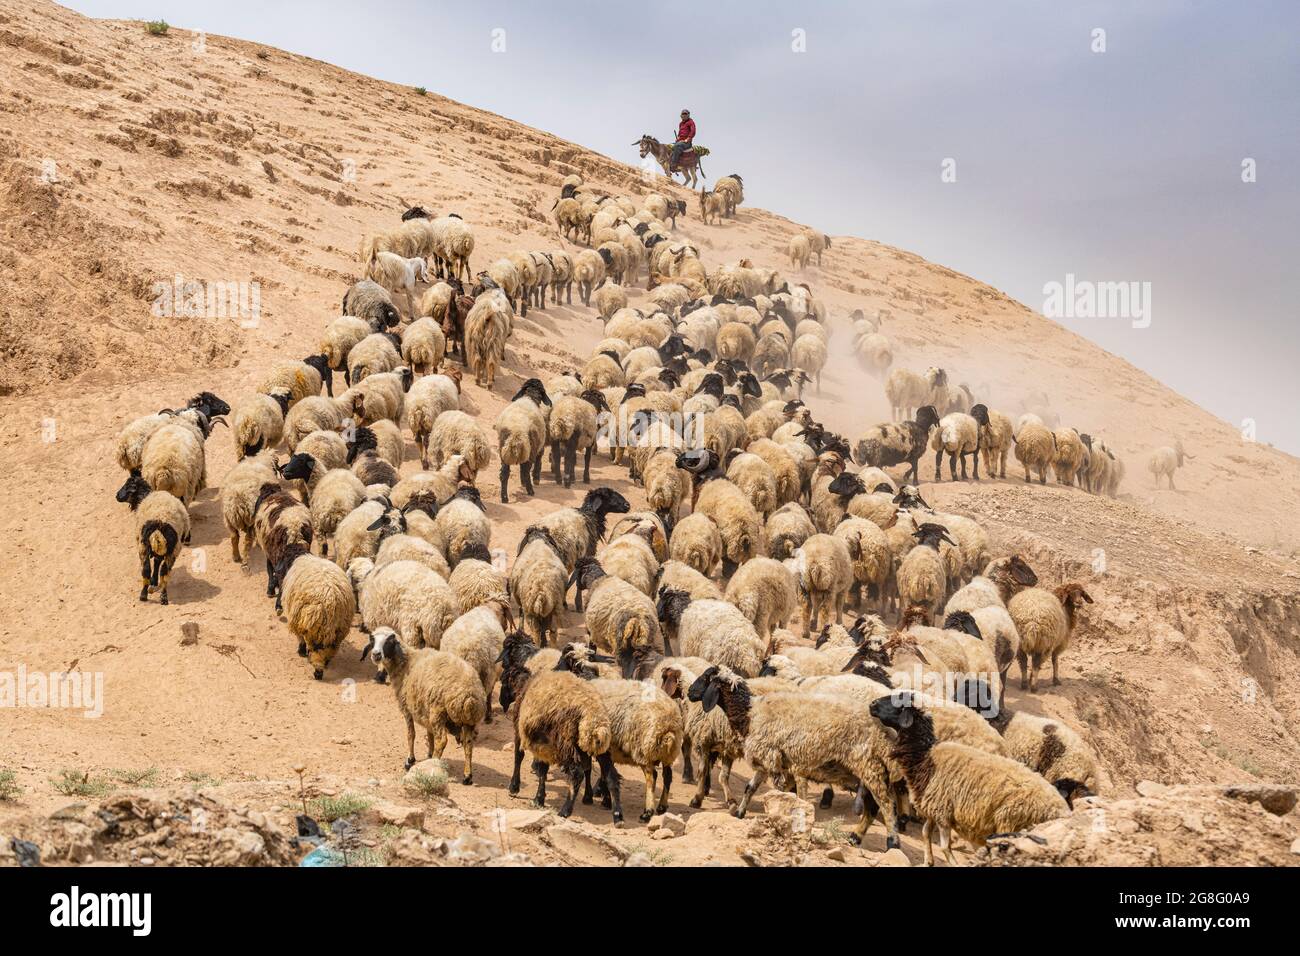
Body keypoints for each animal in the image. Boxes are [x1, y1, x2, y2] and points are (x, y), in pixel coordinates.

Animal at [115, 474, 190, 605]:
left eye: (127, 485)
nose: (117, 495)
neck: (145, 496)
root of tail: (160, 523)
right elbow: (157, 561)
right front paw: (154, 582)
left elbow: (153, 564)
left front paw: (152, 582)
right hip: (172, 550)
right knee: (165, 573)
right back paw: (164, 598)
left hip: (144, 547)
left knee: (146, 570)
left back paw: (143, 596)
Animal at [363, 628, 484, 784]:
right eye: (372, 640)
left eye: (389, 641)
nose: (376, 654)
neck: (406, 664)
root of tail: (469, 696)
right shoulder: (424, 709)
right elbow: (429, 734)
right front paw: (428, 754)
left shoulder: (407, 709)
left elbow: (411, 735)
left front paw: (410, 760)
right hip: (468, 721)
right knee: (468, 744)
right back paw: (467, 776)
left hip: (438, 712)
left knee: (442, 741)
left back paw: (434, 766)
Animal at [869, 692, 1069, 866]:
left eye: (898, 703)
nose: (872, 704)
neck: (927, 756)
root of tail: (1061, 810)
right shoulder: (934, 808)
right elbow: (926, 833)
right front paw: (928, 861)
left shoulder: (942, 812)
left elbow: (945, 847)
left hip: (1010, 823)